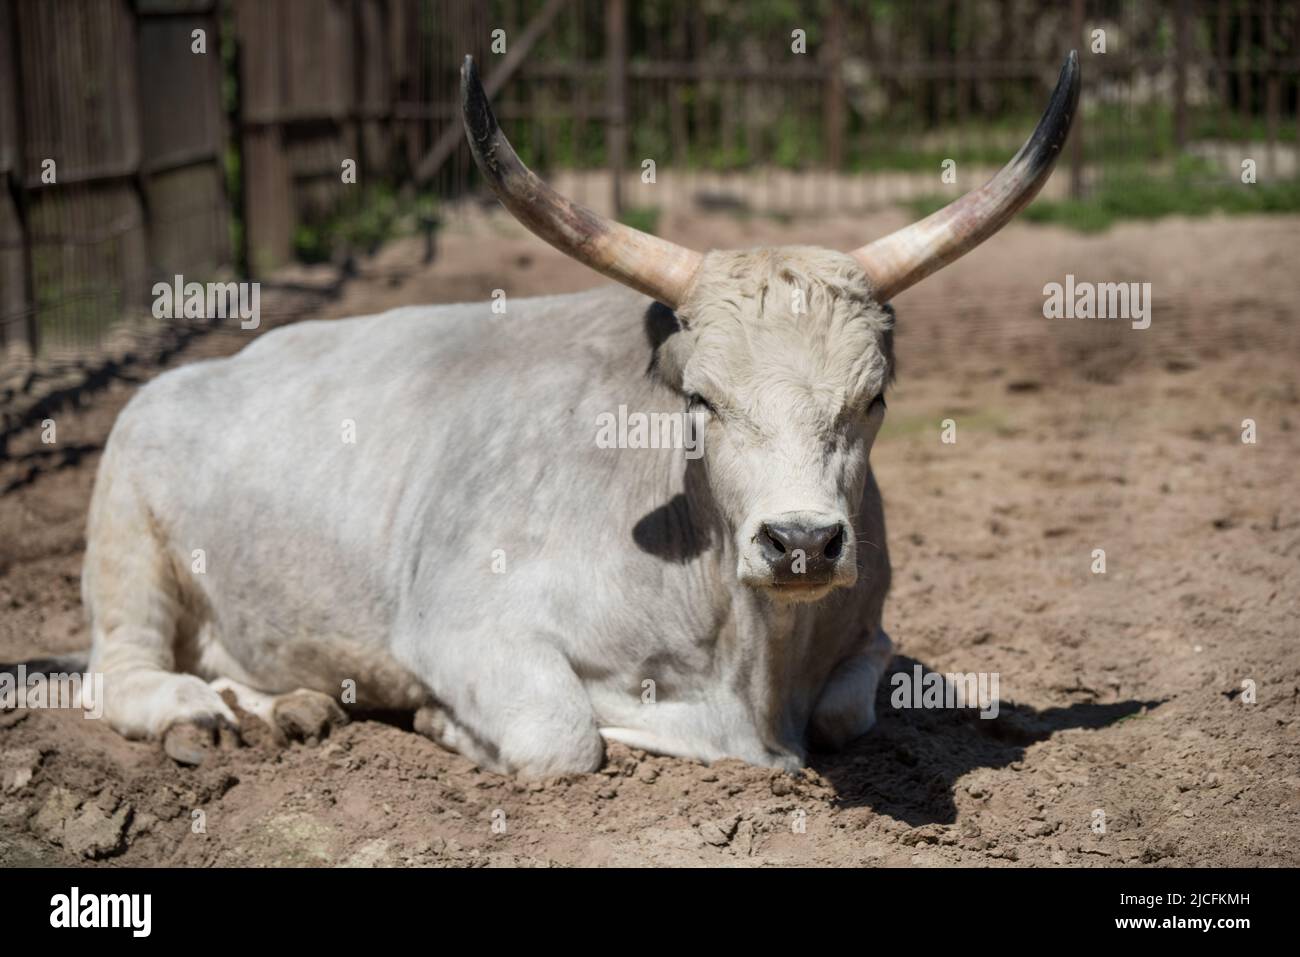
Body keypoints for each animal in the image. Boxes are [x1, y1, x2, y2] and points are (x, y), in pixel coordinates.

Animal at [65, 52, 1078, 776]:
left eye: (873, 398)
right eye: (701, 399)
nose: (802, 542)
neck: (751, 661)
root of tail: (190, 375)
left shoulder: (869, 636)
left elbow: (849, 706)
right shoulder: (459, 624)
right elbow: (563, 738)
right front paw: (442, 720)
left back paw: (288, 706)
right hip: (128, 548)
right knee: (118, 673)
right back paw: (200, 714)